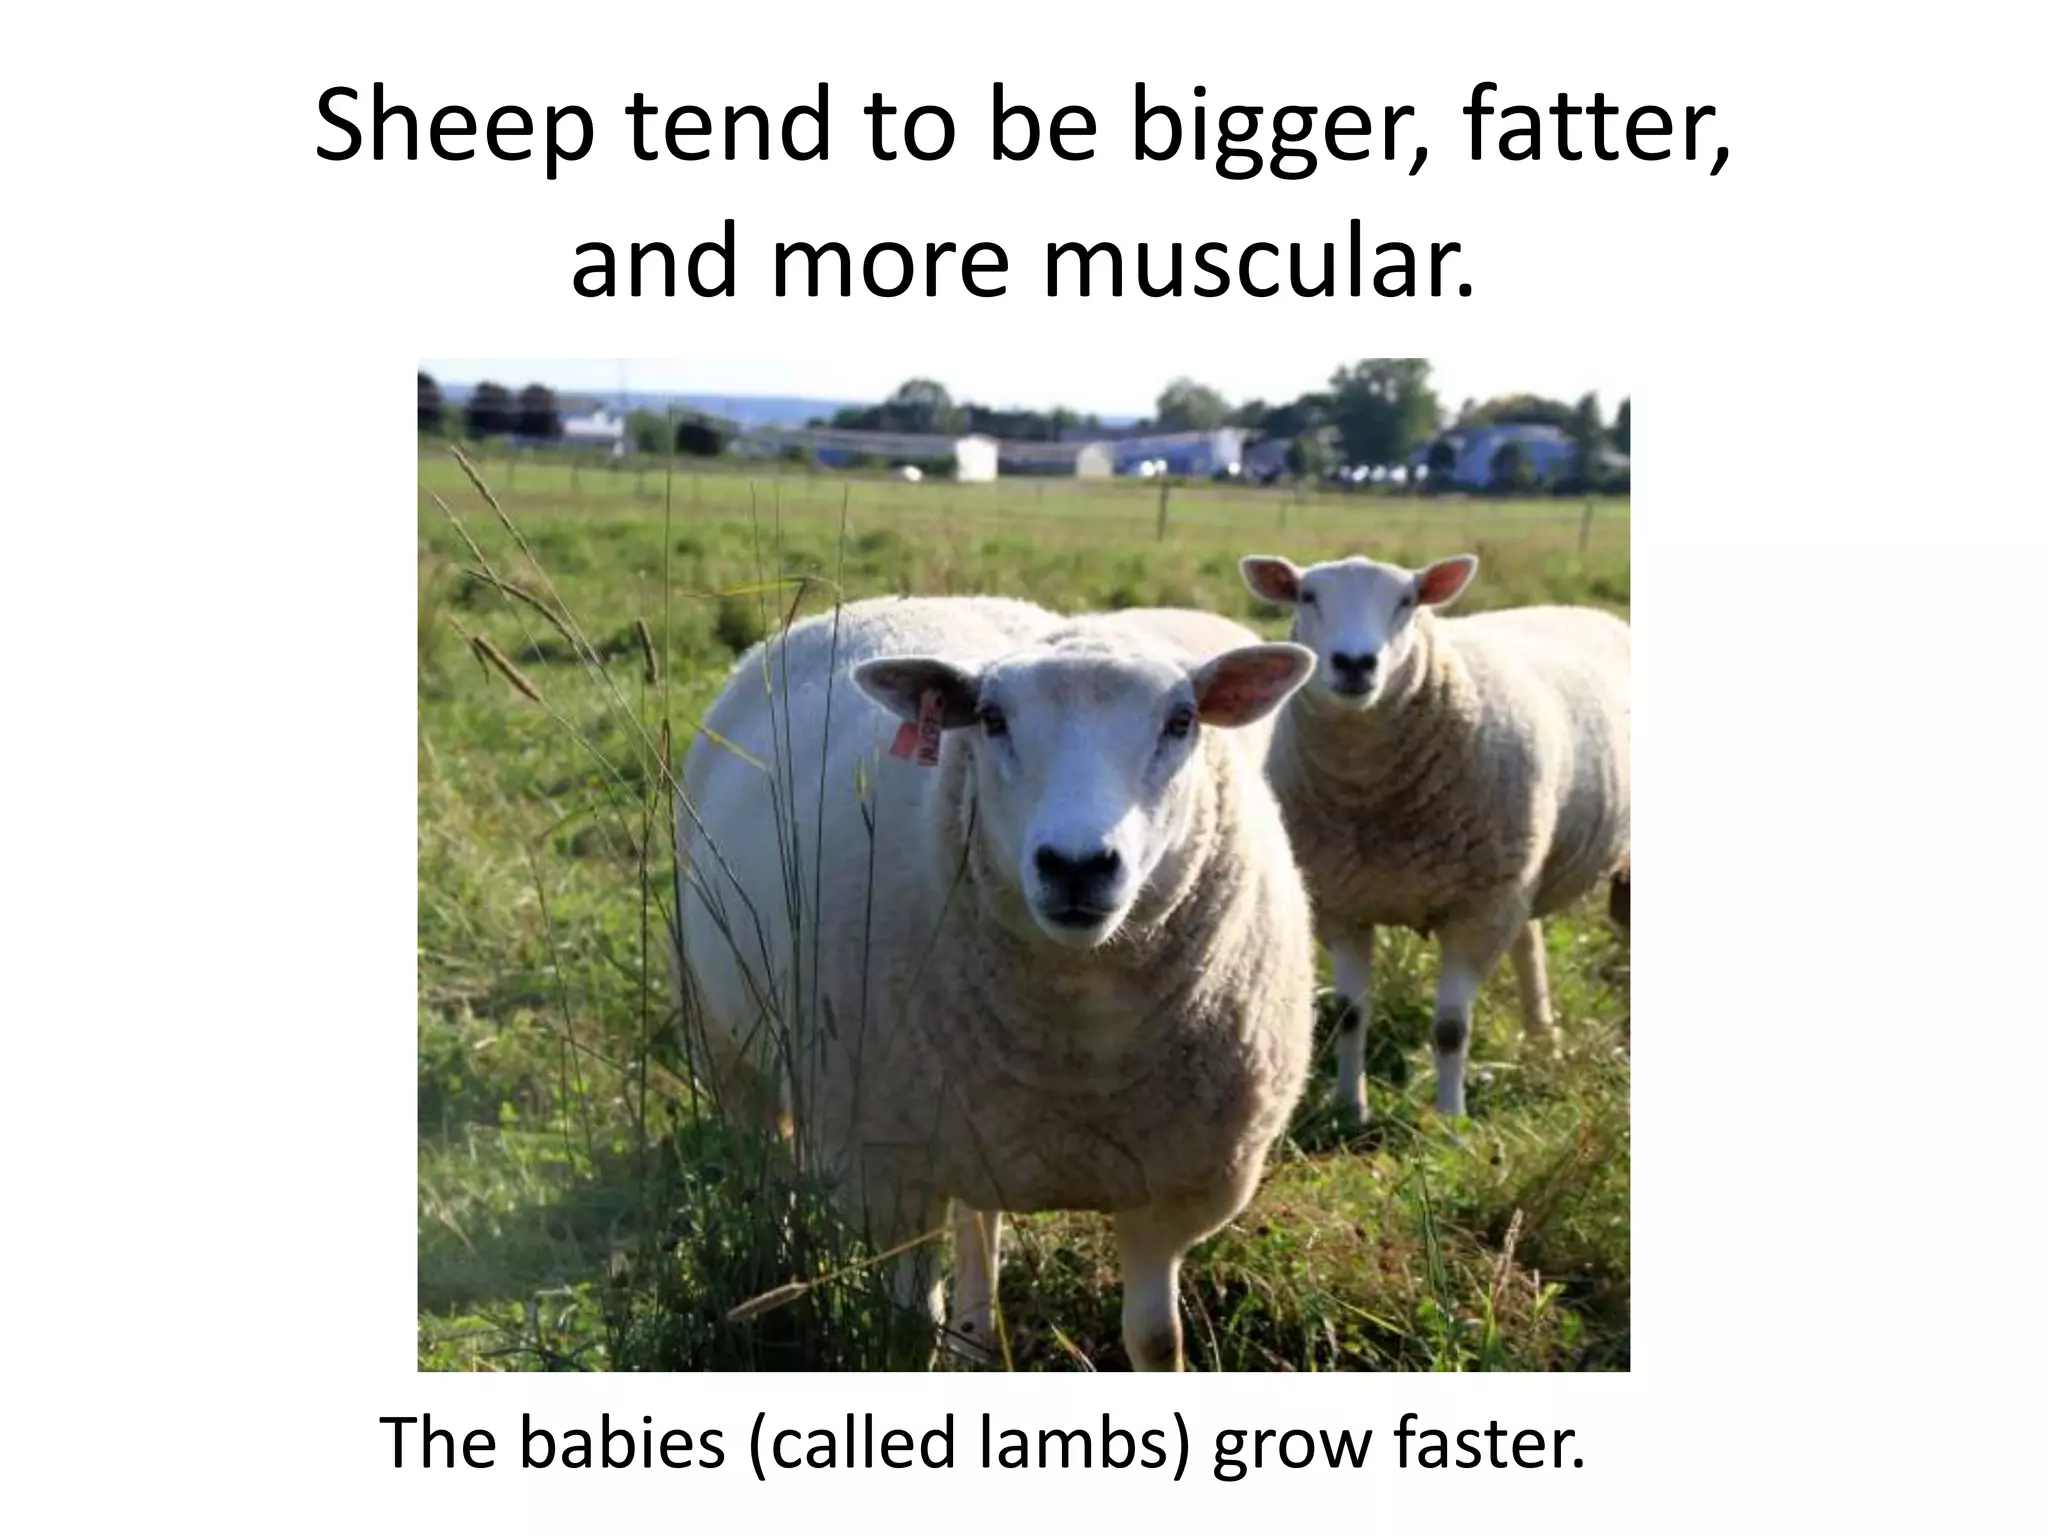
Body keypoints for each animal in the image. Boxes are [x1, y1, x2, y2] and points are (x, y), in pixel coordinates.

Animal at [674, 595, 1319, 1370]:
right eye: (990, 718)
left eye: (1181, 720)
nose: (1077, 865)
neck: (1080, 1043)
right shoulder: (887, 1172)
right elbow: (906, 1334)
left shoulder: (1174, 1188)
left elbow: (1157, 1340)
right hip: (727, 1045)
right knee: (765, 1160)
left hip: (973, 1116)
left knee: (978, 1215)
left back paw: (977, 1335)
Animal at [1238, 553, 1630, 1123]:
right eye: (1308, 596)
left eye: (1407, 601)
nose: (1355, 663)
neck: (1371, 797)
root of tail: (1583, 610)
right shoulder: (1341, 906)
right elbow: (1349, 1014)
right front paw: (1349, 1108)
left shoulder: (1476, 911)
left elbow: (1449, 1028)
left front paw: (1450, 1119)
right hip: (1519, 871)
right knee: (1529, 942)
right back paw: (1543, 1041)